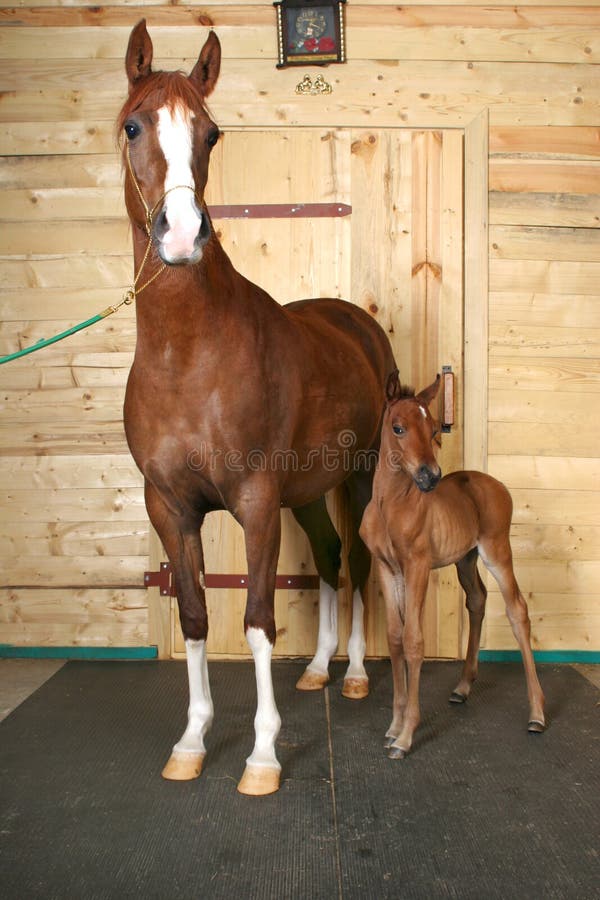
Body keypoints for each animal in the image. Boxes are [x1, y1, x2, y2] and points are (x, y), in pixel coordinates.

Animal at [119, 20, 396, 795]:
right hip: (306, 494)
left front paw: (263, 754)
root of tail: (357, 322)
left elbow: (257, 620)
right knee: (329, 557)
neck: (187, 355)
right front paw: (191, 741)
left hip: (356, 477)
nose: (183, 235)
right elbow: (194, 615)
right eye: (133, 125)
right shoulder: (170, 506)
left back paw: (354, 673)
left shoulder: (254, 500)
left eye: (211, 134)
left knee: (356, 562)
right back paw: (319, 669)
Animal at [359, 373, 545, 759]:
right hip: (466, 558)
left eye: (433, 428)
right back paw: (462, 687)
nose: (430, 476)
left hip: (496, 551)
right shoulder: (387, 568)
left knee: (517, 610)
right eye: (398, 427)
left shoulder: (417, 565)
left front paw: (406, 736)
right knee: (477, 600)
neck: (391, 506)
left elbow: (414, 640)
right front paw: (394, 726)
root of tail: (497, 484)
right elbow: (395, 637)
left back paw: (537, 713)